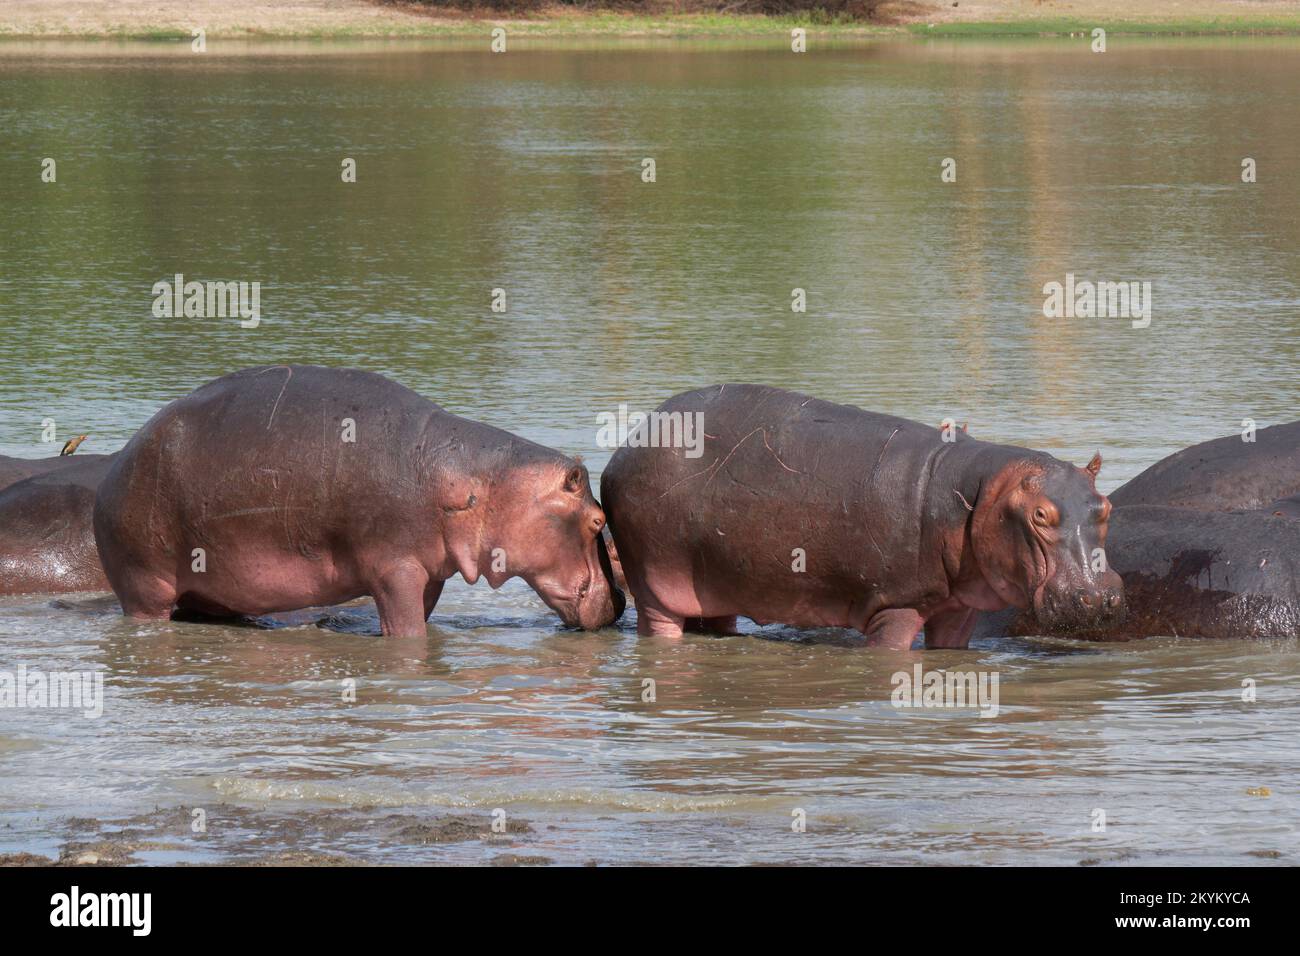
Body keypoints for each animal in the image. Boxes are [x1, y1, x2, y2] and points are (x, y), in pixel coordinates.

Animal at [93, 366, 624, 637]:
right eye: (598, 520)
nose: (620, 601)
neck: (479, 482)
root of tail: (116, 465)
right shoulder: (395, 568)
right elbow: (407, 632)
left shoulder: (430, 573)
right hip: (145, 585)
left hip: (213, 589)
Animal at [601, 384, 1124, 648]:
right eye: (1040, 514)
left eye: (1106, 507)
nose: (1098, 596)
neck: (978, 494)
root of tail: (632, 440)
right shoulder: (894, 605)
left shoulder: (958, 609)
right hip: (656, 583)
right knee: (660, 625)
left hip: (717, 580)